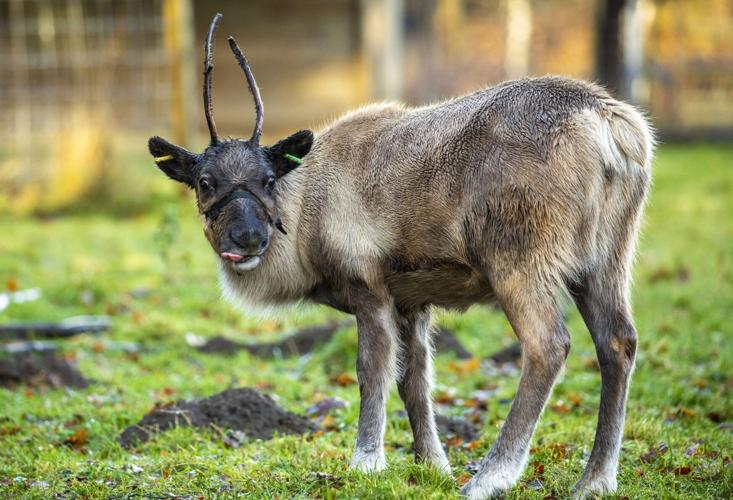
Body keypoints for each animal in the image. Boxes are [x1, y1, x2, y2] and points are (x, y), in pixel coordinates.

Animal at [148, 13, 653, 499]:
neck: (307, 213)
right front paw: (433, 465)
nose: (249, 238)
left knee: (548, 345)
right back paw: (595, 481)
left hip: (520, 257)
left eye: (268, 179)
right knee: (618, 342)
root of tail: (611, 127)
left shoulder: (368, 287)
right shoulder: (412, 300)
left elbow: (372, 372)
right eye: (205, 182)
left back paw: (491, 477)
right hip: (607, 258)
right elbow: (416, 380)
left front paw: (367, 461)